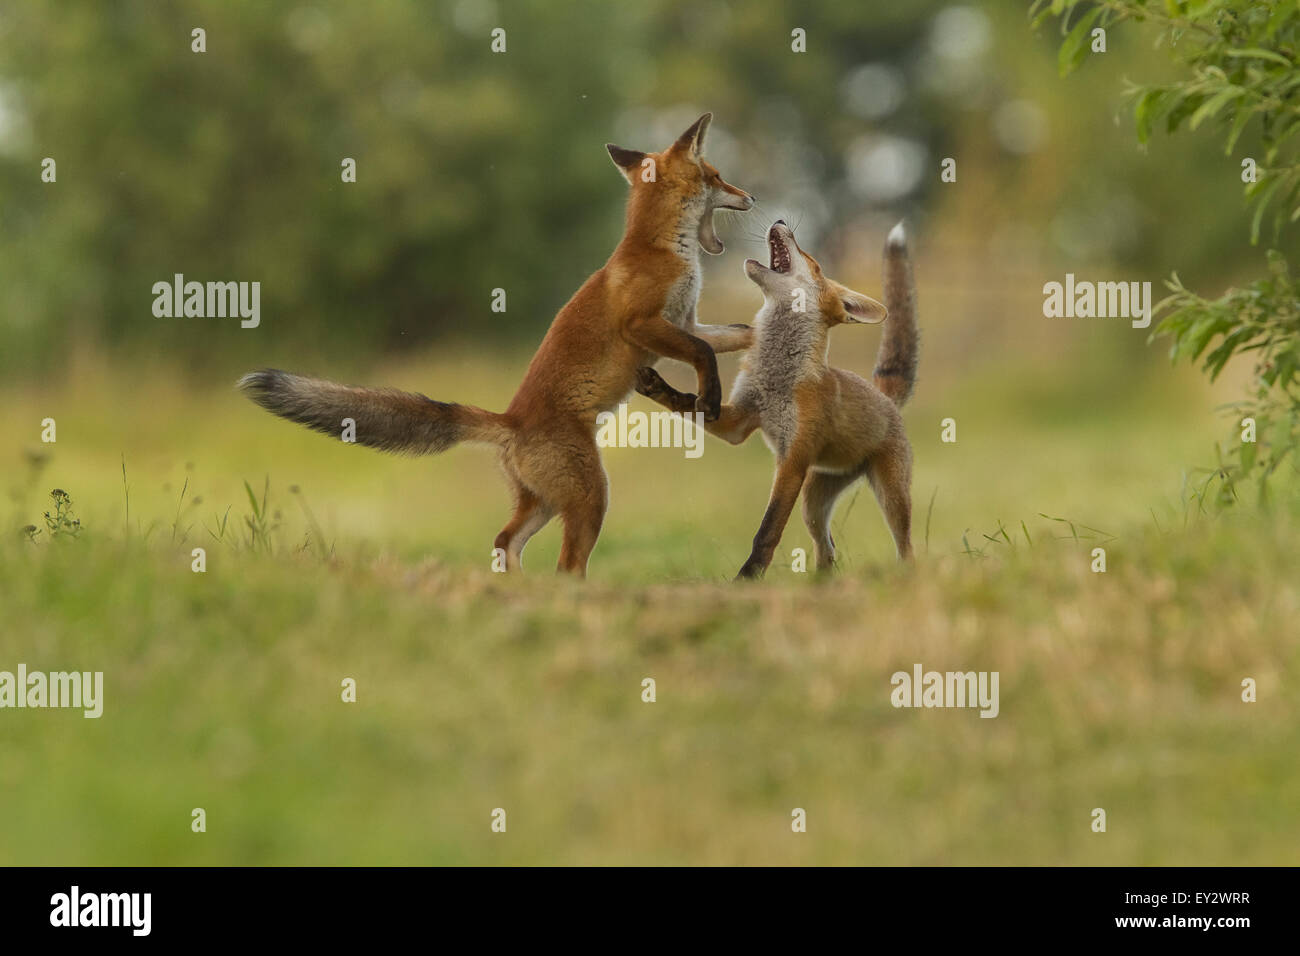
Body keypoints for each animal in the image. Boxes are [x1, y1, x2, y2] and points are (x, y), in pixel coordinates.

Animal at [239, 113, 754, 576]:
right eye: (717, 176)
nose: (750, 196)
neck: (661, 249)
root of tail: (511, 422)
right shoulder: (642, 324)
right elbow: (705, 353)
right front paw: (709, 398)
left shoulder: (688, 320)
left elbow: (733, 335)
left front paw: (765, 332)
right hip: (589, 495)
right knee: (566, 564)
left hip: (544, 501)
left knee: (505, 541)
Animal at [634, 218, 919, 579]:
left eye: (815, 265)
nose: (782, 220)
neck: (776, 378)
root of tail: (884, 397)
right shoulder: (740, 421)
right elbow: (685, 401)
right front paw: (656, 386)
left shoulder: (792, 459)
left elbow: (767, 531)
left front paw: (747, 578)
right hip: (814, 502)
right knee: (827, 549)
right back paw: (820, 585)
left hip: (891, 497)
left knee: (905, 548)